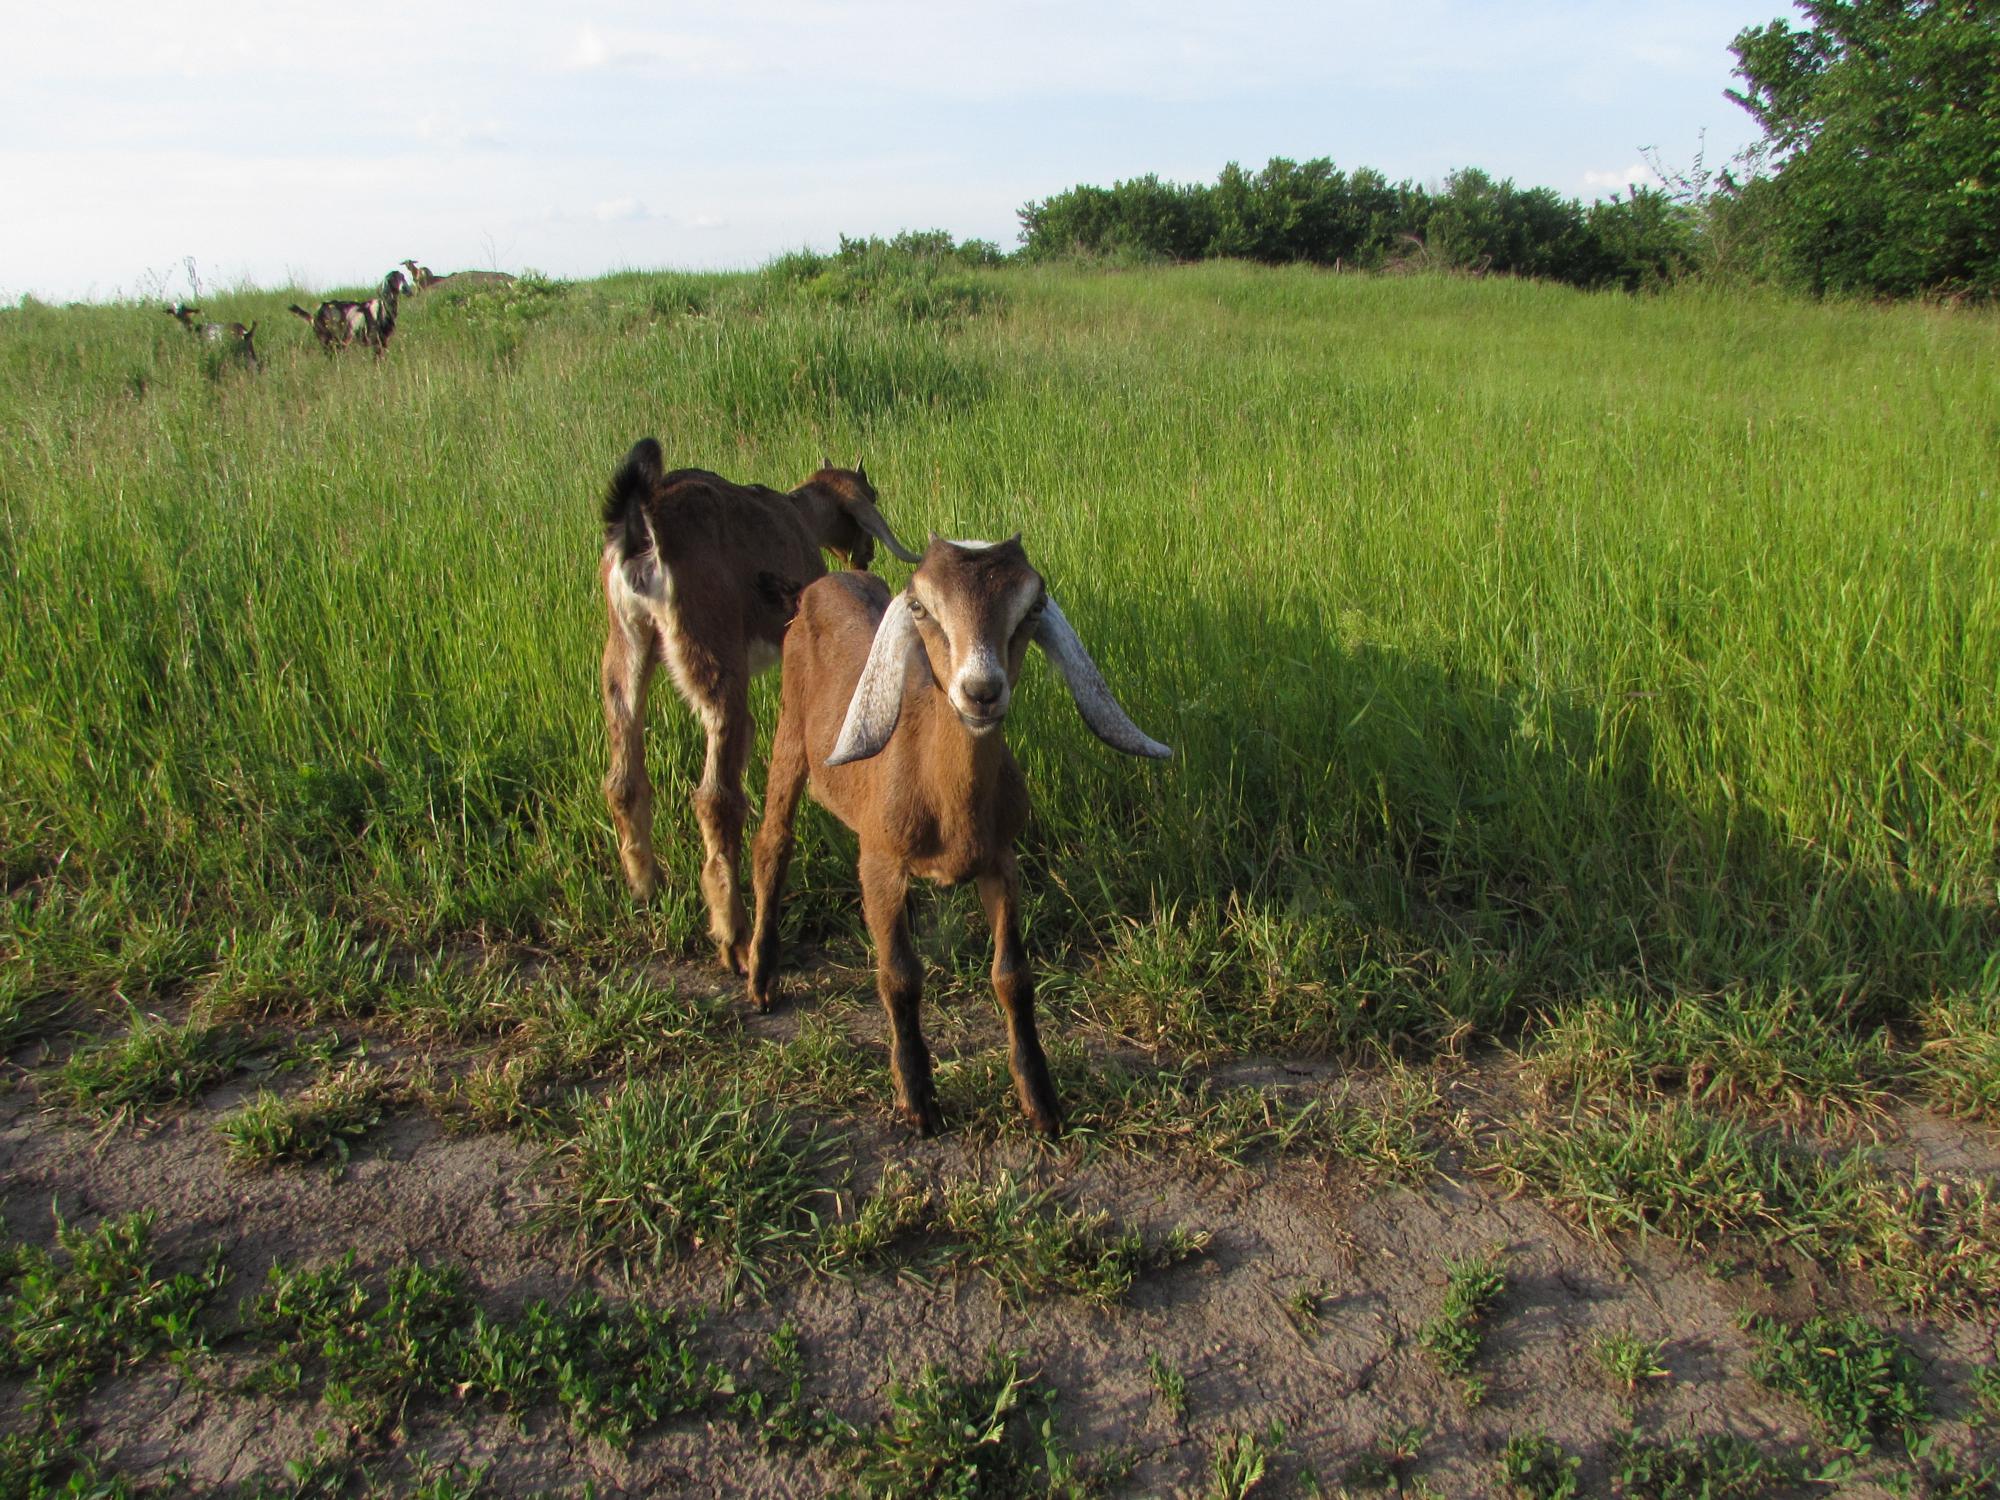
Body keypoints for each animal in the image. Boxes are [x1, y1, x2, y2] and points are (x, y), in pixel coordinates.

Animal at [592, 438, 920, 976]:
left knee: (622, 773)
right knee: (716, 796)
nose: (867, 555)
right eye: (871, 495)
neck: (796, 512)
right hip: (712, 651)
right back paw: (736, 938)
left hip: (626, 642)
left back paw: (646, 887)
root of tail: (642, 534)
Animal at [748, 536, 1168, 1136]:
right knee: (772, 844)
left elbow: (1013, 976)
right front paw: (918, 1100)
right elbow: (899, 977)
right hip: (788, 734)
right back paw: (760, 979)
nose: (981, 691)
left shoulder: (1002, 860)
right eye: (920, 607)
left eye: (1032, 606)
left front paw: (1041, 1101)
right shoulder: (879, 860)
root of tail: (817, 584)